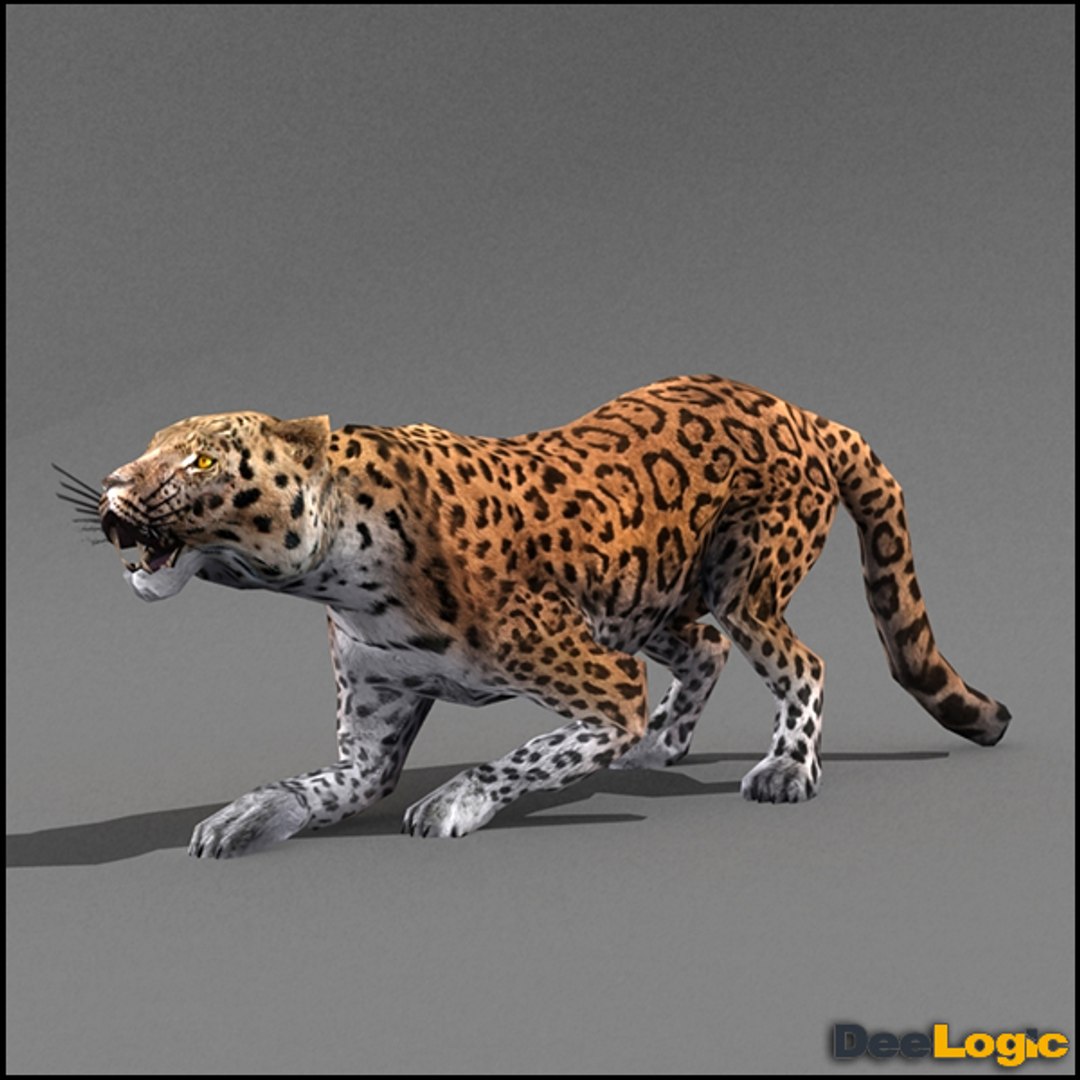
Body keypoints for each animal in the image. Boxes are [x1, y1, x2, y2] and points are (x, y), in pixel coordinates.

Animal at [58, 375, 1010, 857]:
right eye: (148, 447)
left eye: (201, 459)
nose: (111, 487)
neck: (341, 578)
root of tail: (800, 409)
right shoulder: (371, 727)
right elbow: (327, 783)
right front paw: (247, 815)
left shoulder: (604, 686)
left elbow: (526, 756)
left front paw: (455, 801)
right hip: (645, 594)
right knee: (702, 647)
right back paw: (662, 748)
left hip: (742, 585)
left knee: (798, 662)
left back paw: (783, 770)